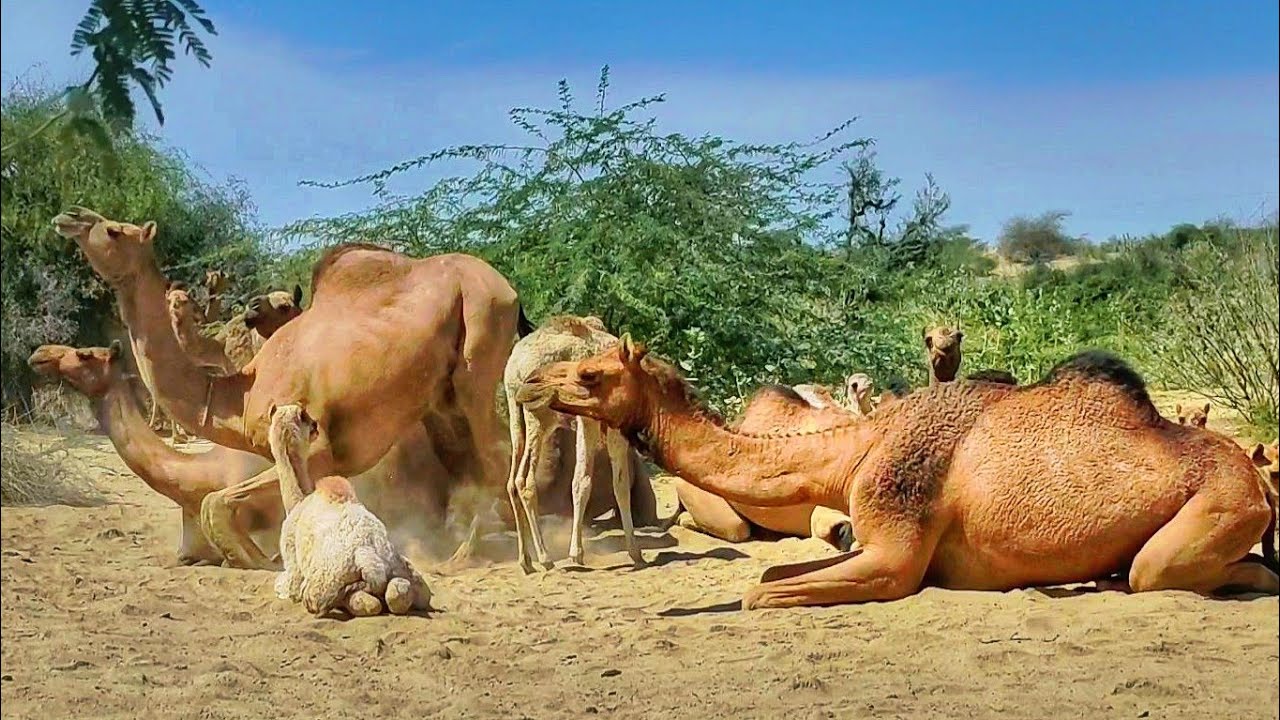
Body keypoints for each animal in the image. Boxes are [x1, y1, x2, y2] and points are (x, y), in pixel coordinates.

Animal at [52, 207, 521, 569]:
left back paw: (470, 555)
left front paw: (263, 561)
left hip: (478, 349)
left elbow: (215, 503)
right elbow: (228, 504)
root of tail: (508, 289)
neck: (238, 395)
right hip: (443, 396)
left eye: (115, 229)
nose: (70, 216)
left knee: (496, 456)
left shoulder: (317, 444)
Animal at [269, 403, 431, 617]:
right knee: (400, 593)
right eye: (308, 420)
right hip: (407, 572)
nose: (316, 425)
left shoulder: (291, 564)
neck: (298, 502)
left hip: (322, 583)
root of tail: (369, 558)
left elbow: (284, 585)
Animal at [519, 336, 1278, 609]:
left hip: (1223, 504)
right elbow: (772, 571)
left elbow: (760, 594)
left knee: (1178, 572)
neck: (859, 446)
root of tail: (1258, 478)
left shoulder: (894, 554)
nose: (528, 384)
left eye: (589, 375)